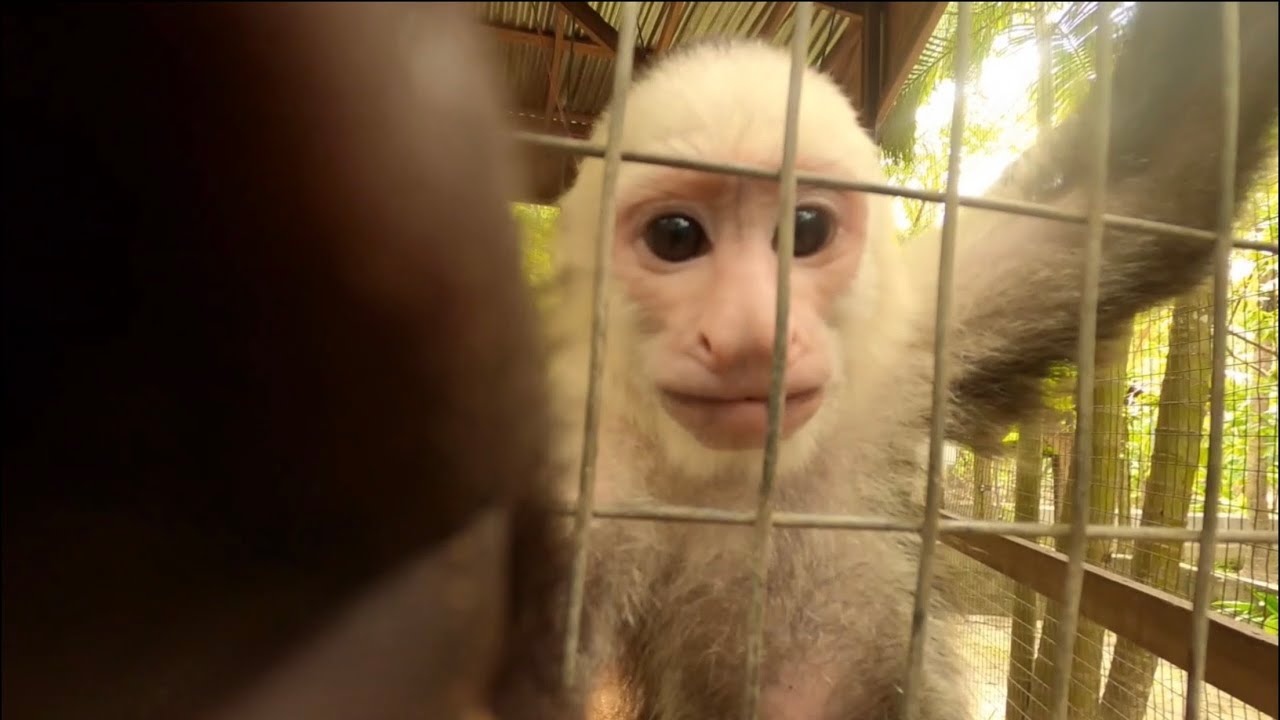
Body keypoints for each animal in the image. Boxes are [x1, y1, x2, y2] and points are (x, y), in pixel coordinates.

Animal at [545, 3, 1279, 719]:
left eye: (807, 230)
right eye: (676, 237)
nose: (752, 334)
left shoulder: (917, 330)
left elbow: (1150, 181)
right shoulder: (595, 467)